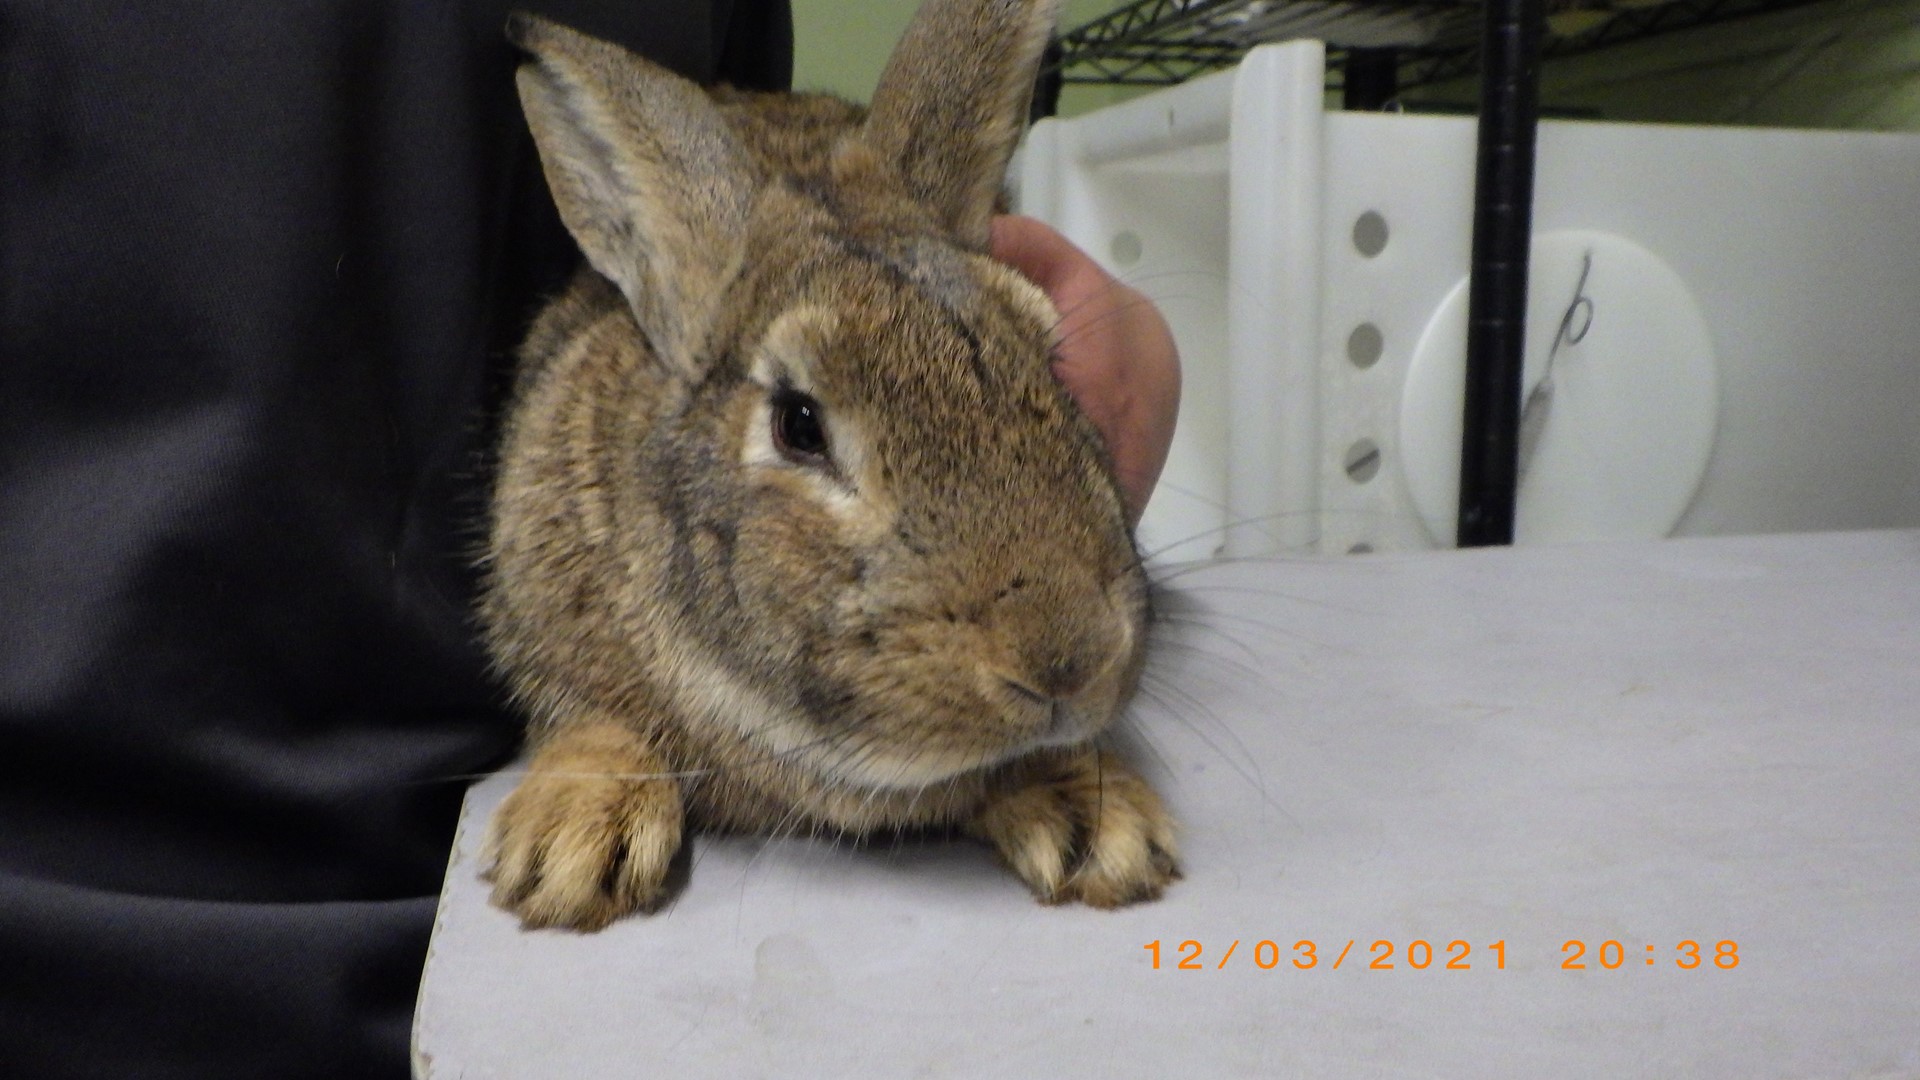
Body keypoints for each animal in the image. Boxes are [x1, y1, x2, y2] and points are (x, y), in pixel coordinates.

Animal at [480, 0, 1178, 932]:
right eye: (798, 425)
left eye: (1049, 360)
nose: (1069, 660)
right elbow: (587, 719)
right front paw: (568, 843)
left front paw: (1098, 823)